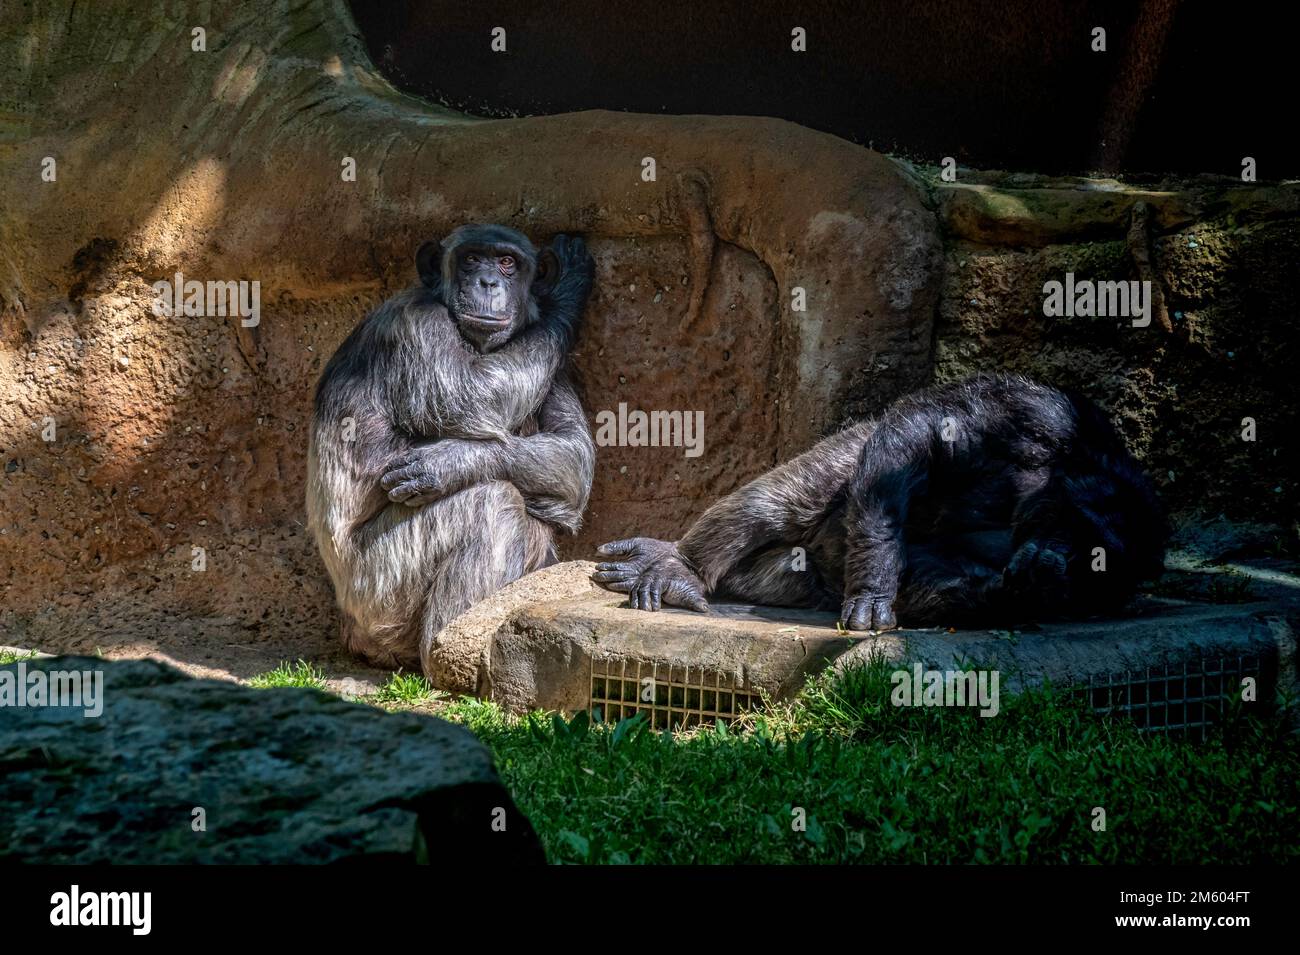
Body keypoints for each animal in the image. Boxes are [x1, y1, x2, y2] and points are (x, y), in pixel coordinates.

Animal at [307, 224, 596, 671]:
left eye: (508, 262)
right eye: (472, 259)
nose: (489, 281)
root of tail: (353, 631)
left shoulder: (555, 369)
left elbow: (572, 450)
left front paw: (449, 463)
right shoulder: (419, 325)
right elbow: (468, 393)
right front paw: (566, 294)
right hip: (379, 586)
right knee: (492, 504)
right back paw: (451, 647)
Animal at [592, 374, 1166, 631]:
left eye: (1091, 571)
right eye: (1081, 542)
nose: (1055, 566)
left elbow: (941, 584)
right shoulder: (1039, 411)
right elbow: (932, 427)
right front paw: (873, 586)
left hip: (781, 580)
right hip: (846, 451)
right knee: (779, 499)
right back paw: (677, 569)